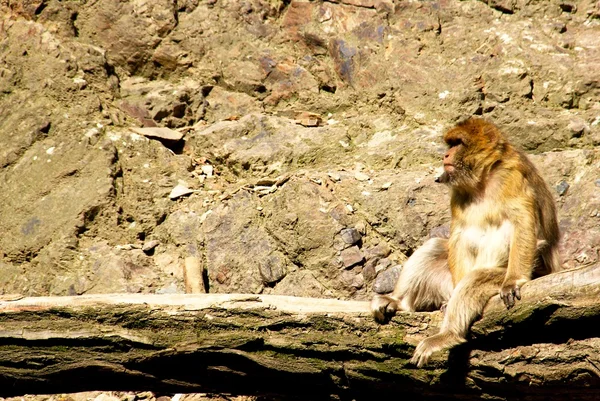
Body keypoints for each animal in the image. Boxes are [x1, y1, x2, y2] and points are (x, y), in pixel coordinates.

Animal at [370, 118, 564, 366]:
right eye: (450, 144)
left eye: (457, 143)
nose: (445, 155)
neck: (483, 180)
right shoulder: (458, 192)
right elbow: (459, 235)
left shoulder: (512, 177)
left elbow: (522, 224)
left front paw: (513, 282)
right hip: (445, 283)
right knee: (435, 248)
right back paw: (398, 301)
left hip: (522, 272)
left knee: (476, 278)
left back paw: (448, 334)